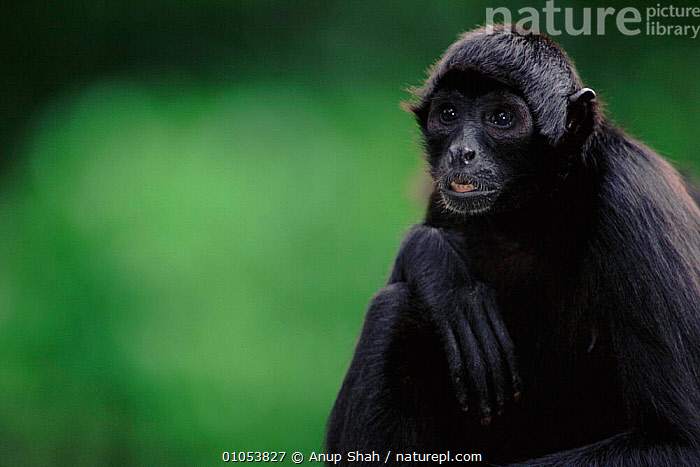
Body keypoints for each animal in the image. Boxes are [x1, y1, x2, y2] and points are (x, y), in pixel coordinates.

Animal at [326, 25, 700, 466]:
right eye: (448, 115)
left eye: (501, 119)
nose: (461, 152)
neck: (534, 214)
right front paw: (448, 280)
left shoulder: (635, 197)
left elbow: (678, 442)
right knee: (396, 310)